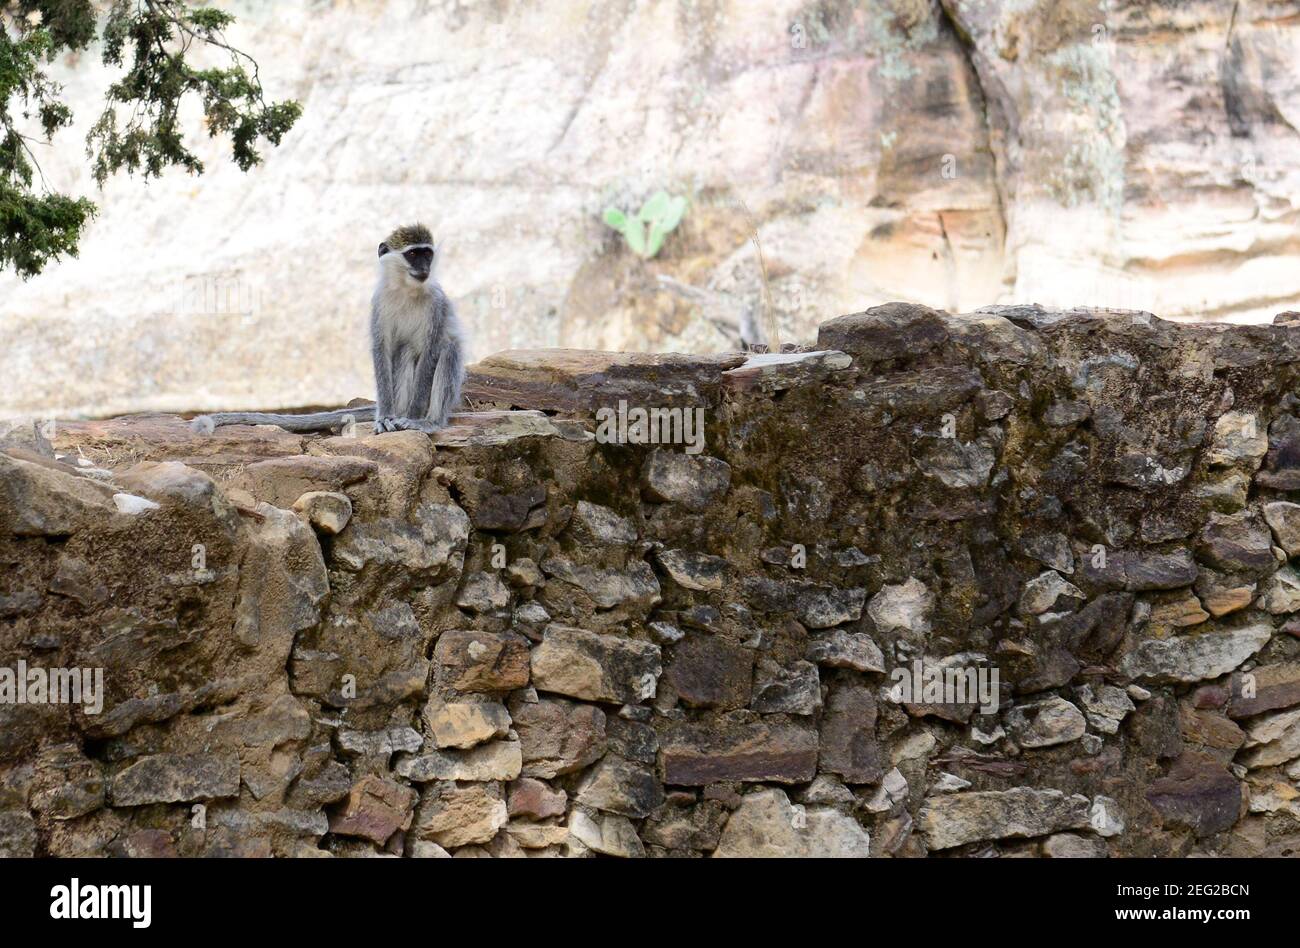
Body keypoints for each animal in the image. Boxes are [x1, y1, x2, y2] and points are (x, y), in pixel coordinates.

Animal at [191, 224, 465, 436]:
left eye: (427, 254)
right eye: (413, 254)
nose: (425, 268)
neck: (407, 290)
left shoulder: (437, 304)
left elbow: (431, 351)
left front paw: (414, 420)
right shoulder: (379, 301)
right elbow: (382, 348)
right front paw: (384, 417)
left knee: (447, 350)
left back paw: (429, 421)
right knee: (406, 351)